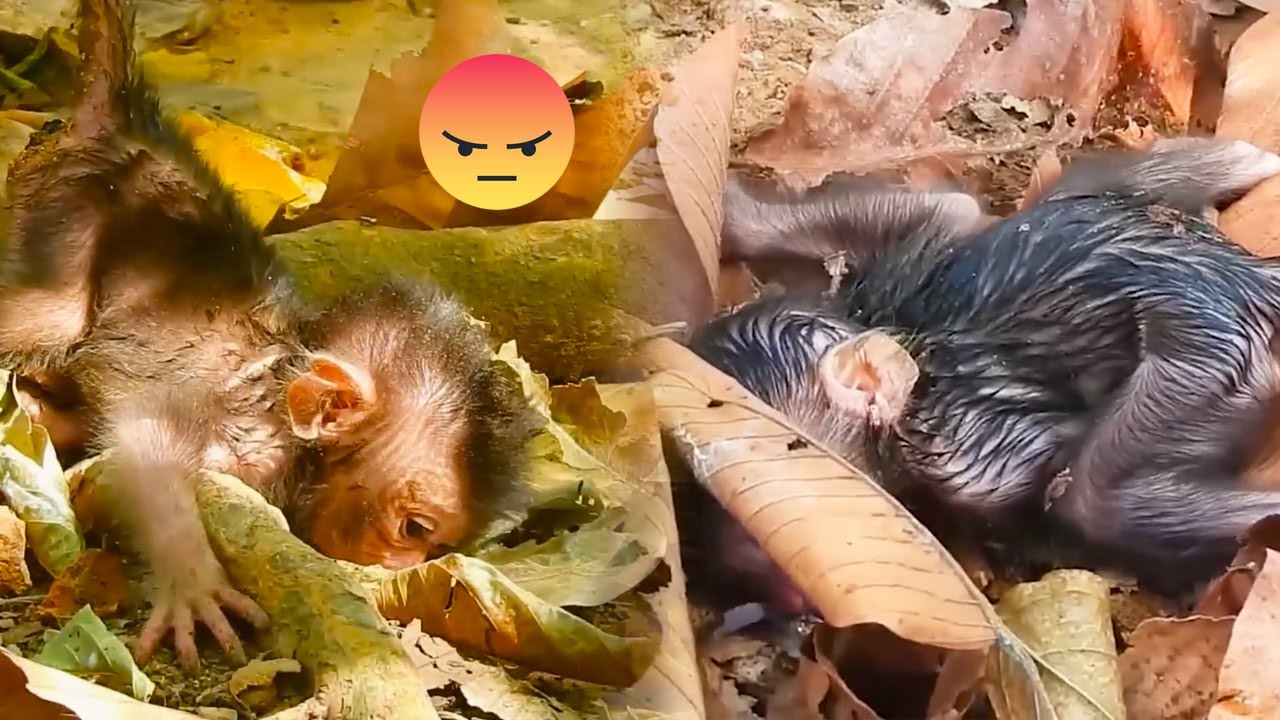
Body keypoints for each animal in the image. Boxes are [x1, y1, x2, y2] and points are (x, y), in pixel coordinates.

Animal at [0, 0, 540, 670]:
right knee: (54, 316)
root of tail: (128, 118)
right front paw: (193, 582)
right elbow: (145, 444)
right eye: (414, 529)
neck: (284, 377)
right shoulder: (246, 437)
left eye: (436, 548)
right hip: (68, 198)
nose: (405, 568)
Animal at [682, 137, 1280, 613]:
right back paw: (1238, 161)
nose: (771, 586)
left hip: (1220, 359)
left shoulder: (961, 447)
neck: (893, 325)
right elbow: (955, 210)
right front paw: (732, 207)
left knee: (1092, 499)